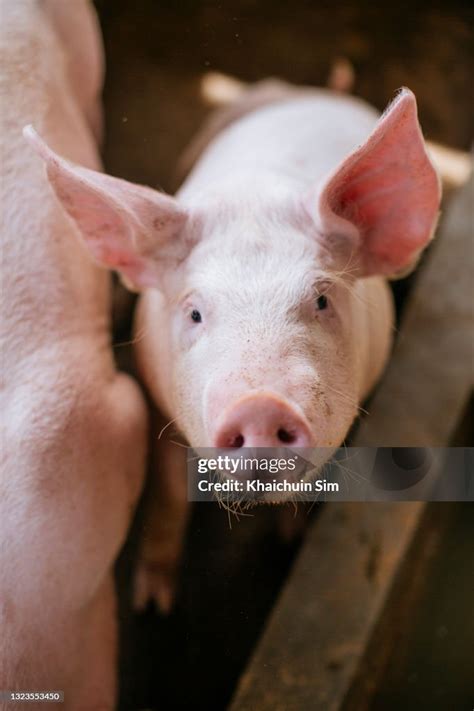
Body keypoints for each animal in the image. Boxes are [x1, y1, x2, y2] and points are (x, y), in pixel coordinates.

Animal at [31, 80, 441, 612]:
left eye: (322, 300)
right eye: (194, 313)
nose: (261, 405)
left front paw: (291, 539)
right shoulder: (159, 403)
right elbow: (169, 489)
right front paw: (152, 604)